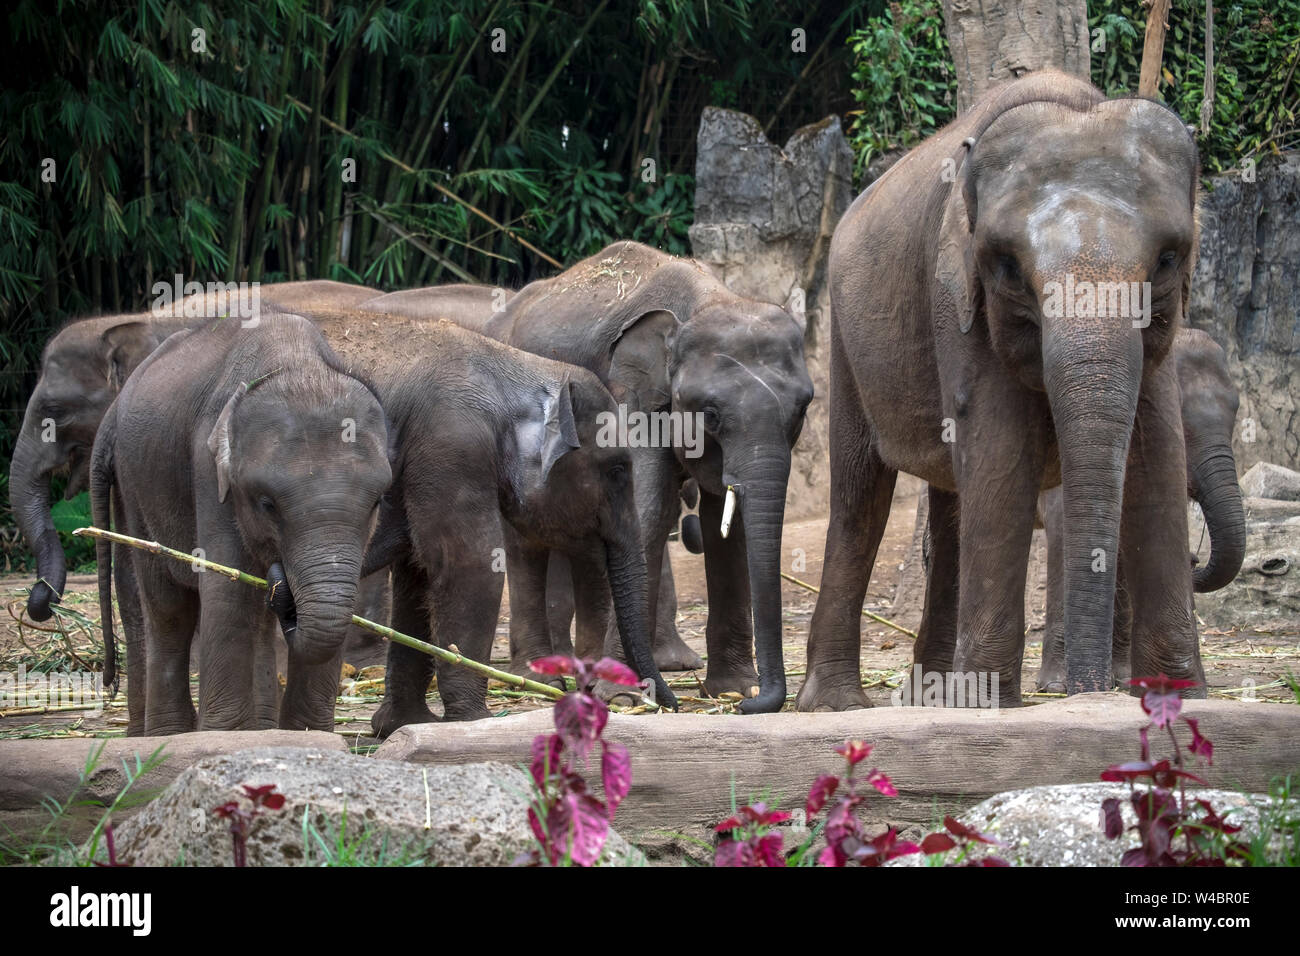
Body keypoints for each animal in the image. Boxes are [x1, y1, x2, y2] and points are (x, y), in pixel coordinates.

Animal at [7, 280, 387, 730]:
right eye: (266, 503)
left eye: (378, 501)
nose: (282, 576)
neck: (297, 364)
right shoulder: (207, 471)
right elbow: (227, 591)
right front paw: (225, 734)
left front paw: (304, 736)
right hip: (138, 483)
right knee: (168, 606)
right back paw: (169, 732)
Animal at [288, 309, 673, 736]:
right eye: (618, 470)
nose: (666, 702)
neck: (515, 365)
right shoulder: (453, 444)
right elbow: (466, 564)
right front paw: (474, 722)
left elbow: (417, 575)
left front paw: (407, 724)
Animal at [452, 242, 813, 714]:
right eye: (710, 413)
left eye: (803, 409)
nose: (748, 707)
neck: (706, 300)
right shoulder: (632, 399)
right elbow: (649, 508)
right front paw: (625, 696)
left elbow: (726, 524)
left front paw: (735, 689)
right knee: (525, 542)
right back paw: (535, 676)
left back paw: (569, 667)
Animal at [801, 71, 1205, 710]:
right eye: (1009, 267)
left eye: (1167, 259)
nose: (1089, 692)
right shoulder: (957, 297)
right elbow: (1000, 445)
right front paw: (989, 704)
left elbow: (1159, 449)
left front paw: (1181, 694)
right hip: (846, 338)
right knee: (860, 495)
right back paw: (839, 704)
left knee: (947, 507)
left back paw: (932, 697)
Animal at [1036, 327, 1244, 692]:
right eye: (1180, 423)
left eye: (1236, 413)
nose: (1195, 560)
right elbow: (1065, 533)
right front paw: (1057, 686)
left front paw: (1121, 678)